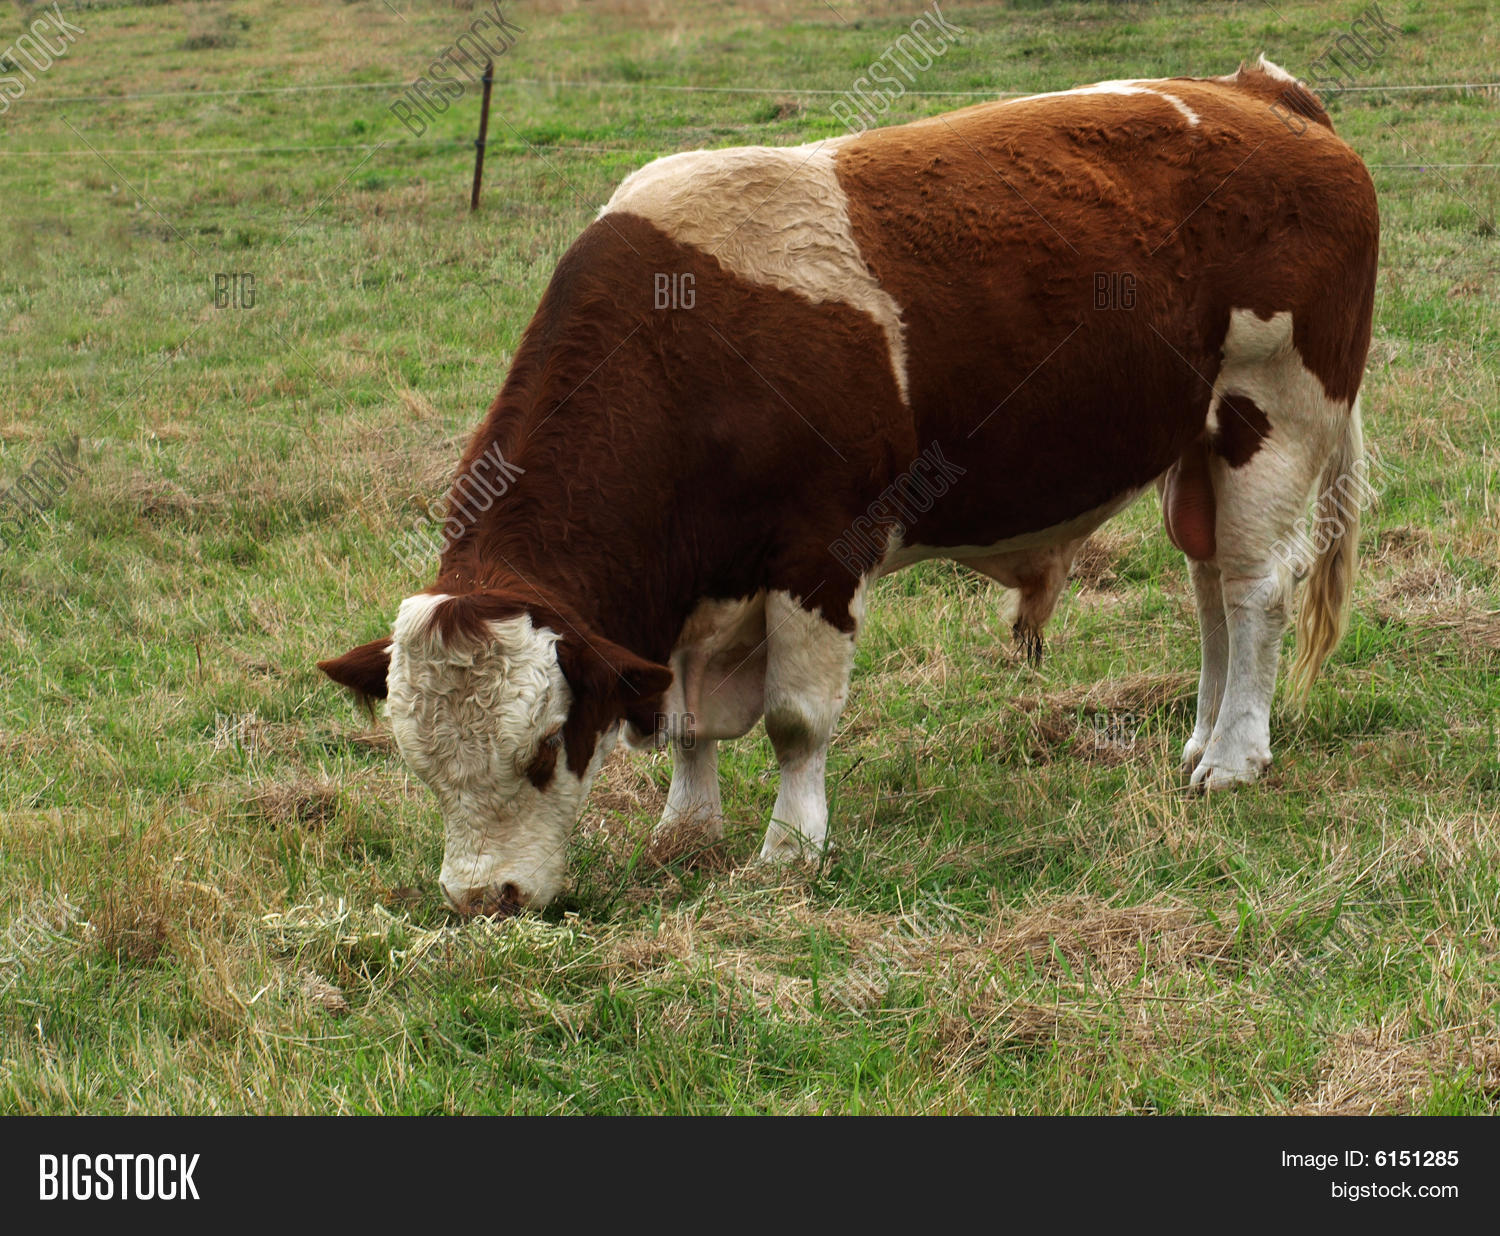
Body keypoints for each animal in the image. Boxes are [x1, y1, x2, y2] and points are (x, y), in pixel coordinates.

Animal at [319, 57, 1378, 915]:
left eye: (543, 748)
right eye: (419, 766)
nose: (482, 899)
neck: (684, 345)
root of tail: (1261, 93)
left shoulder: (818, 552)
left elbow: (795, 721)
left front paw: (789, 850)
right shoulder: (689, 586)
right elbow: (685, 723)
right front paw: (684, 834)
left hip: (1274, 415)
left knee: (1256, 592)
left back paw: (1235, 758)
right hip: (1196, 450)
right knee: (1210, 591)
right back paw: (1200, 741)